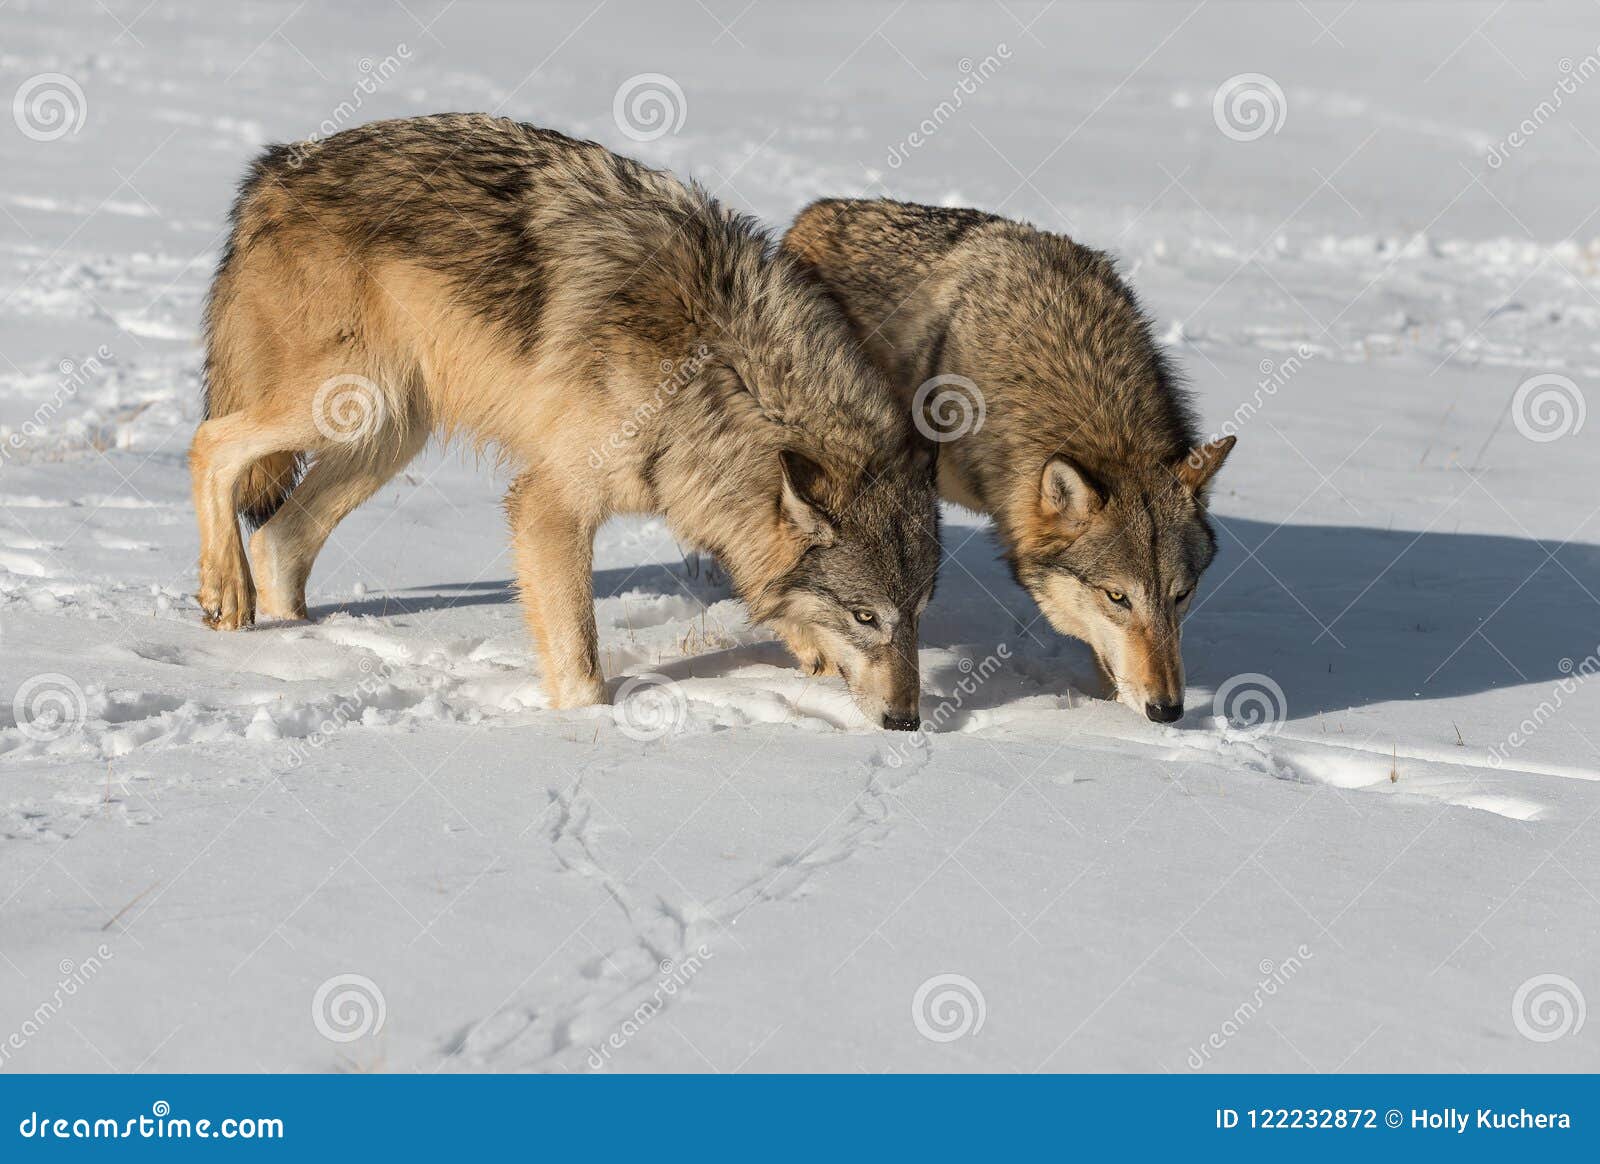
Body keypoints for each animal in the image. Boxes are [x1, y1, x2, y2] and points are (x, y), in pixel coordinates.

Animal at [190, 116, 939, 728]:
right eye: (865, 615)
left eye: (918, 614)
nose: (907, 722)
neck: (721, 368)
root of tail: (276, 166)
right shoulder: (549, 504)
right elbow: (580, 659)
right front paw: (584, 733)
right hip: (352, 405)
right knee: (210, 444)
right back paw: (227, 595)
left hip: (389, 431)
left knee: (279, 538)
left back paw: (301, 641)